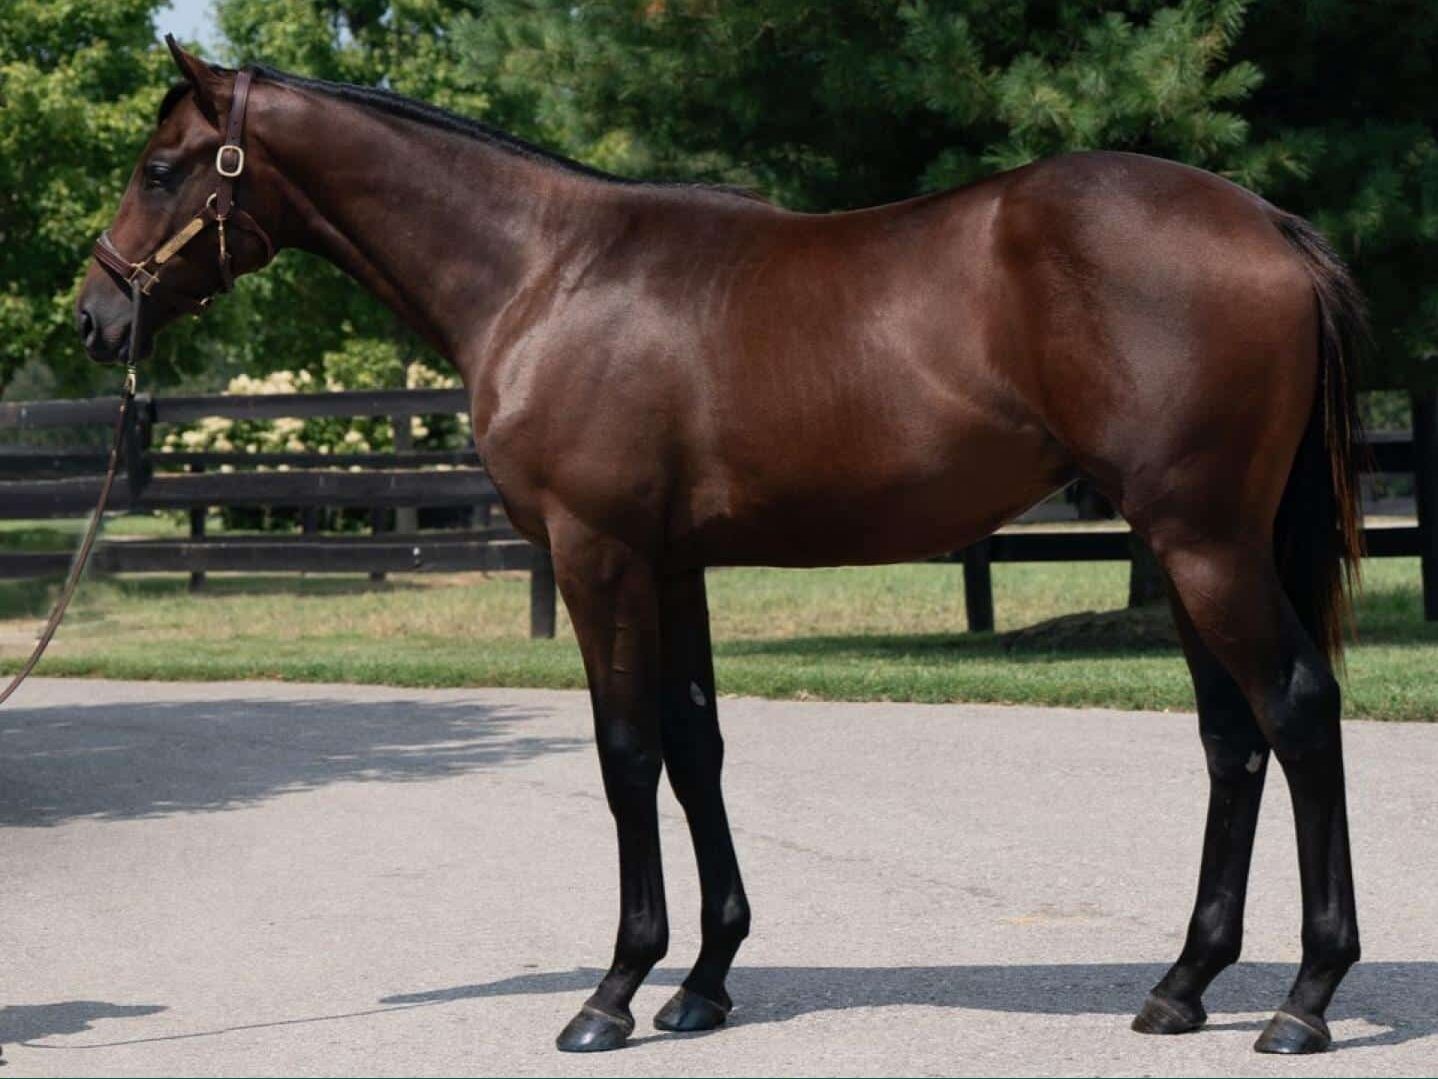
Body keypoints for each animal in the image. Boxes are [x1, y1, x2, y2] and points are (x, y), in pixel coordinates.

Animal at [77, 39, 1366, 1056]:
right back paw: (1182, 984)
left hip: (1203, 541)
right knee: (1231, 738)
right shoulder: (672, 561)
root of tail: (1265, 223)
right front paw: (701, 981)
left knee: (1296, 707)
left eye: (160, 168)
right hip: (1189, 542)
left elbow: (625, 751)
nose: (95, 316)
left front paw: (610, 991)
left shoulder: (594, 553)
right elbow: (697, 745)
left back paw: (1301, 999)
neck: (543, 272)